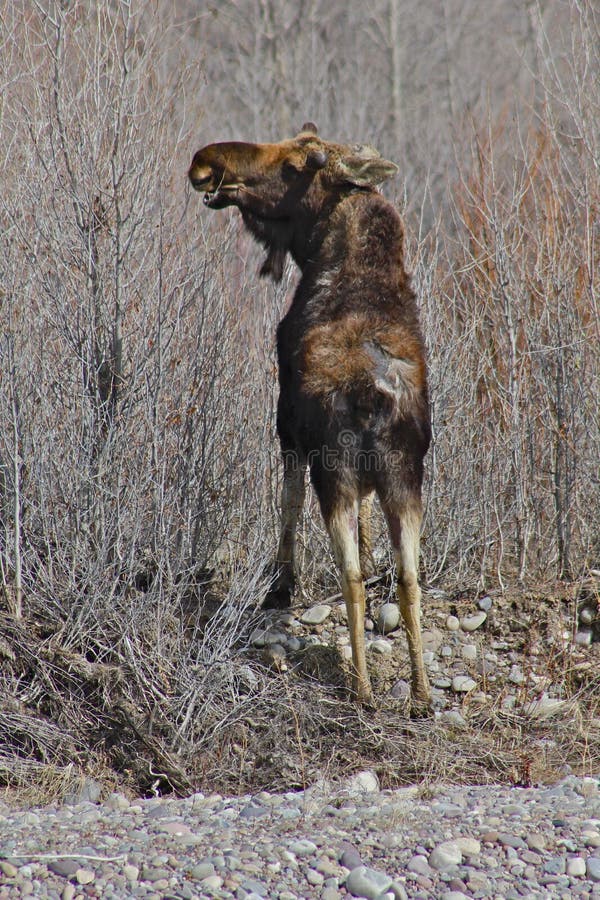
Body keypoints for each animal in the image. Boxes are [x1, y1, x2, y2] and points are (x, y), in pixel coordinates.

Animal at [188, 123, 432, 713]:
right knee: (408, 575)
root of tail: (371, 396)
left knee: (351, 572)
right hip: (405, 480)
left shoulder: (285, 419)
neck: (320, 255)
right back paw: (419, 690)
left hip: (335, 472)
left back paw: (362, 685)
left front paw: (281, 584)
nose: (209, 162)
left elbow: (288, 499)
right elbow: (370, 534)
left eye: (297, 162)